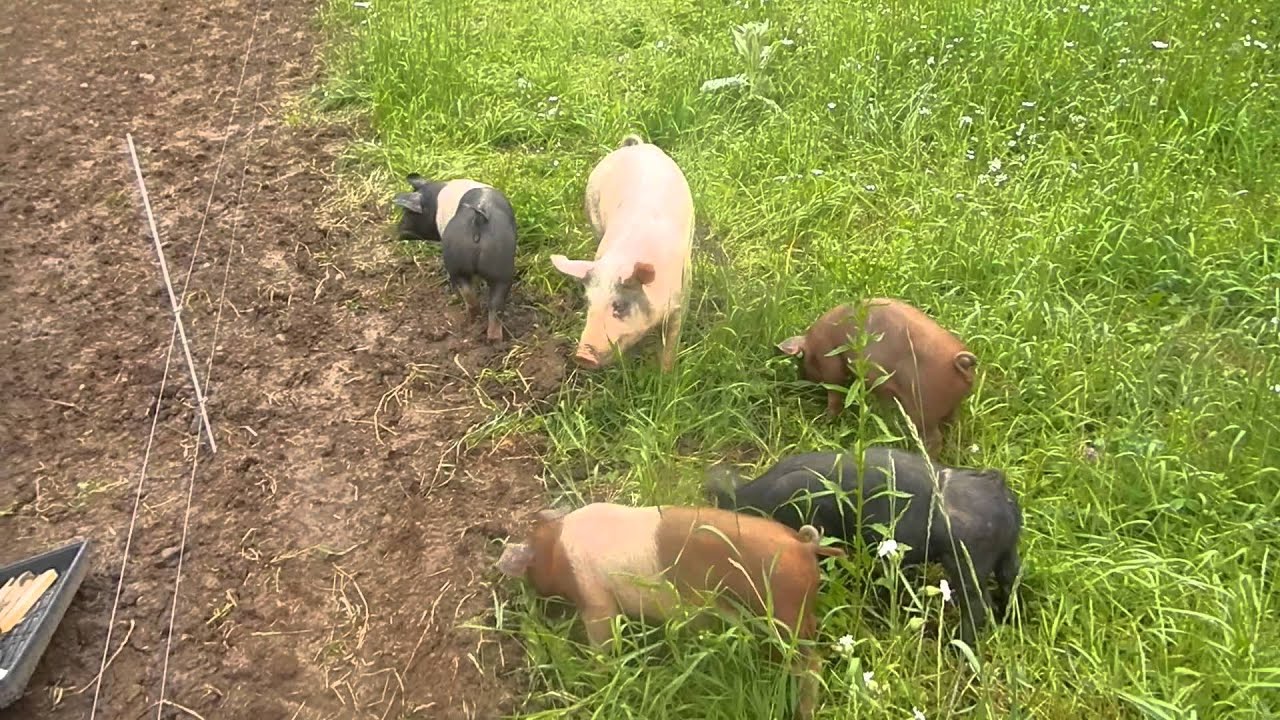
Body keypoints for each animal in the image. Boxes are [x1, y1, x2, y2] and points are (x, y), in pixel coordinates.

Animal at [393, 173, 518, 341]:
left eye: (407, 213)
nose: (396, 232)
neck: (434, 201)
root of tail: (478, 218)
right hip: (501, 269)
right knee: (494, 306)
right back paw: (493, 339)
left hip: (457, 265)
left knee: (468, 295)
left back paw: (469, 321)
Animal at [497, 502, 845, 720]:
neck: (556, 548)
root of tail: (803, 544)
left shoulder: (596, 600)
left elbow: (602, 638)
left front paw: (595, 669)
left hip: (783, 616)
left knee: (811, 663)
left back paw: (803, 711)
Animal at [549, 134, 695, 371]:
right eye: (588, 302)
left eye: (619, 306)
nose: (582, 356)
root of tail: (635, 147)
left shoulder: (681, 299)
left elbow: (671, 342)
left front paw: (666, 373)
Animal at [705, 446, 1022, 646]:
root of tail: (1001, 493)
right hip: (1007, 554)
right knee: (1012, 580)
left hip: (967, 562)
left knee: (978, 606)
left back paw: (957, 646)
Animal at [777, 298, 978, 456]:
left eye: (801, 360)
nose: (800, 381)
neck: (814, 344)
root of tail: (960, 362)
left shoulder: (830, 364)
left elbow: (835, 395)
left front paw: (827, 421)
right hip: (950, 407)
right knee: (952, 428)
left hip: (922, 408)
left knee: (934, 439)